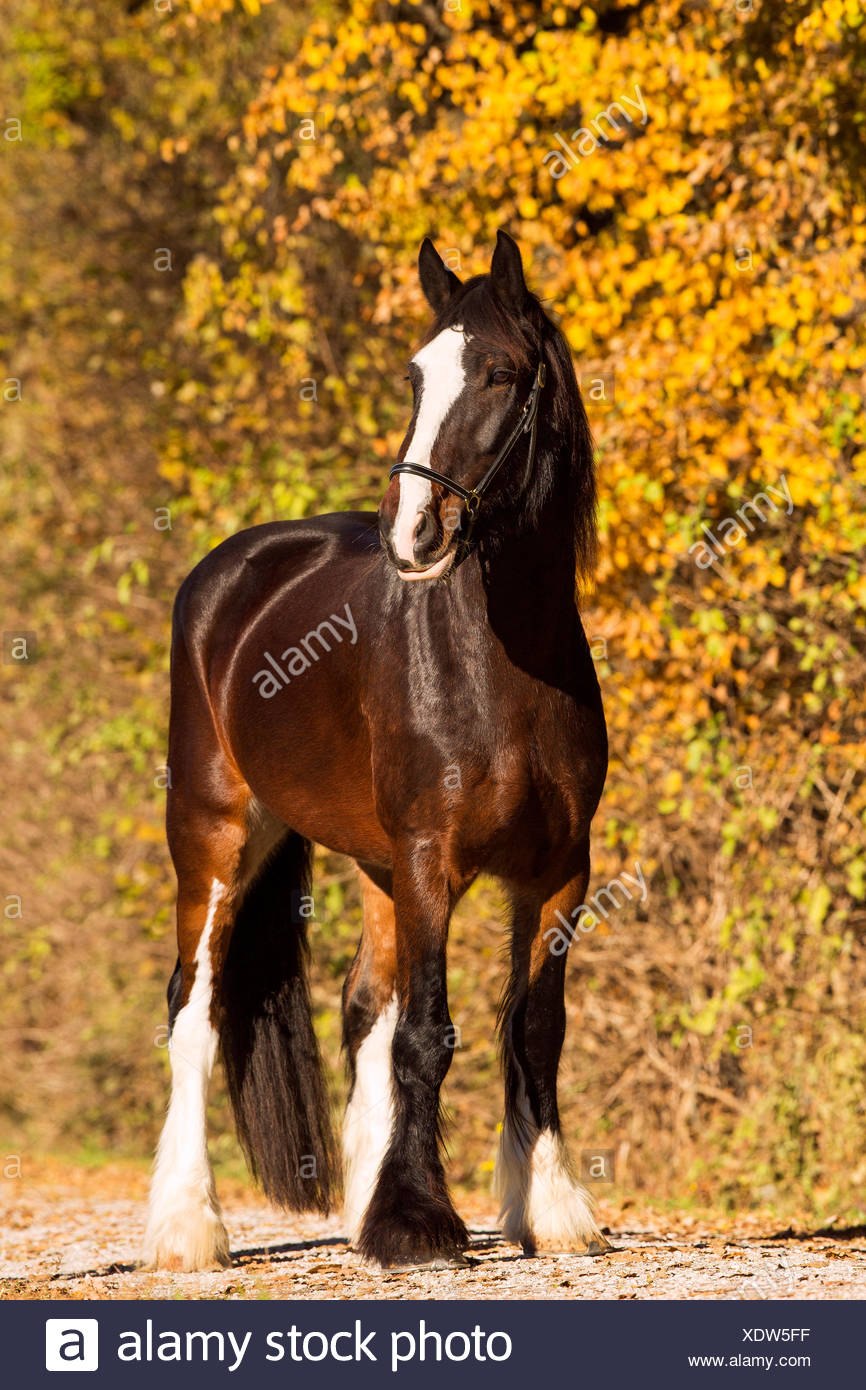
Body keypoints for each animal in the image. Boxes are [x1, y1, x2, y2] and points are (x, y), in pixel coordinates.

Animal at [142, 230, 609, 1272]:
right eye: (415, 375)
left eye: (499, 374)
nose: (412, 534)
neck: (506, 666)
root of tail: (229, 572)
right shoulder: (433, 858)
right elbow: (428, 1034)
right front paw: (420, 1224)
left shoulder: (560, 869)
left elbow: (535, 1029)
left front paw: (551, 1207)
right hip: (215, 837)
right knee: (194, 1007)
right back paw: (188, 1225)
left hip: (375, 867)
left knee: (361, 1010)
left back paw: (358, 1203)